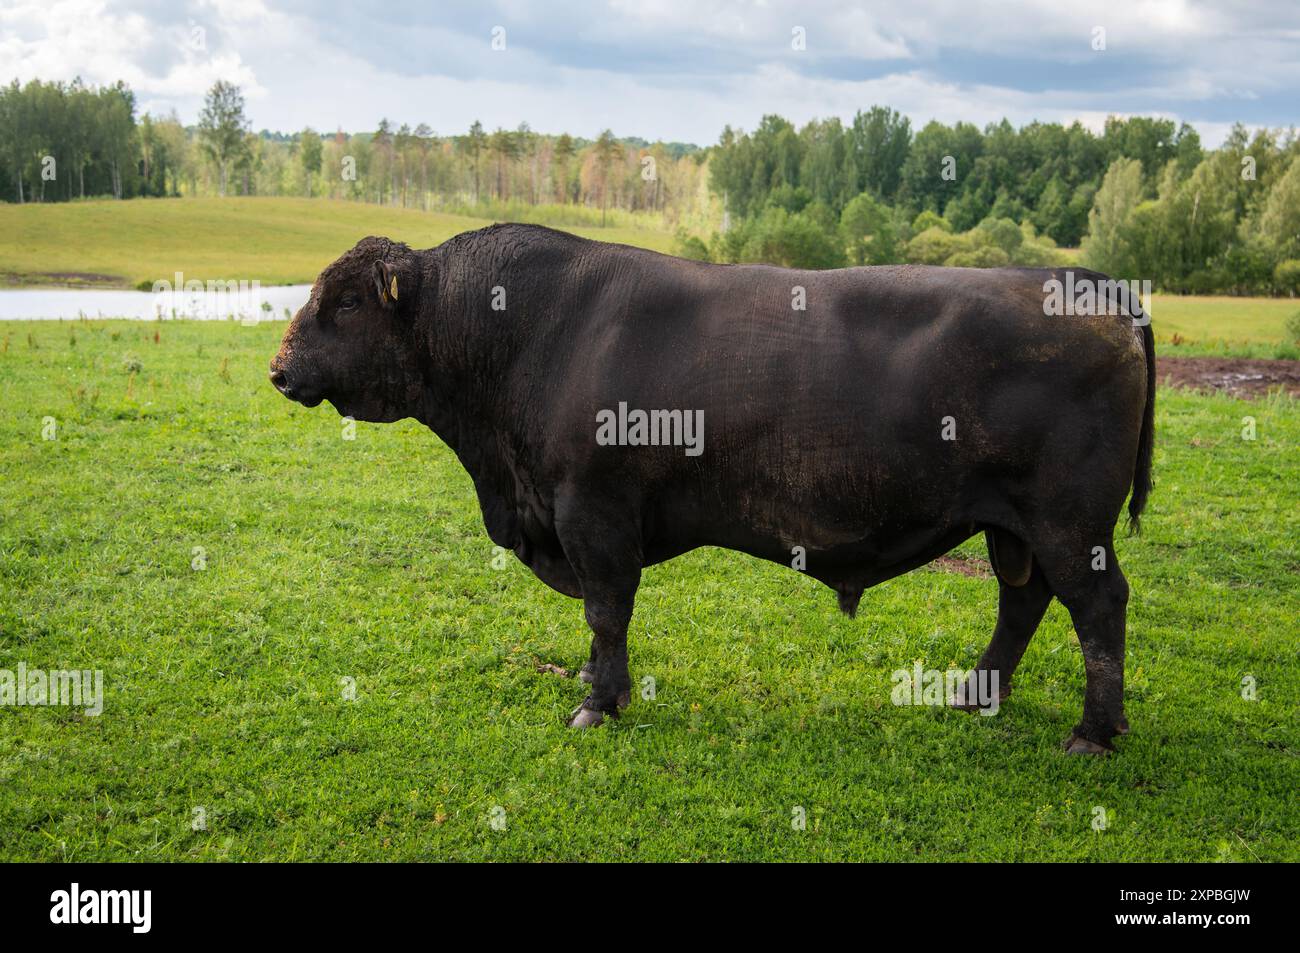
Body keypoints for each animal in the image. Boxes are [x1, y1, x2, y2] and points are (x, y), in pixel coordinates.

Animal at [270, 225, 1154, 754]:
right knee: (1025, 599)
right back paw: (975, 692)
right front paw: (599, 687)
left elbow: (606, 611)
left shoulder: (593, 512)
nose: (278, 368)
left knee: (1096, 606)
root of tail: (1080, 279)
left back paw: (1095, 730)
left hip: (1070, 523)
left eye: (345, 301)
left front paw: (599, 702)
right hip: (1016, 525)